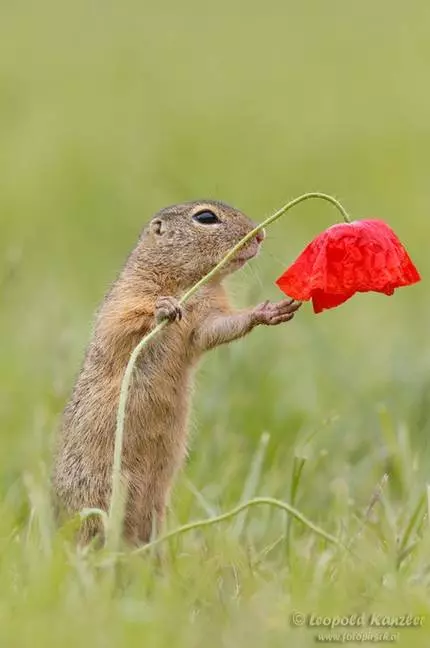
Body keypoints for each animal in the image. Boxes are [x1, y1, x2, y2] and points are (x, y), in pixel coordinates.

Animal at [53, 200, 298, 544]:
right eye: (206, 217)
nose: (260, 235)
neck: (187, 283)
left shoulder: (208, 315)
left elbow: (218, 329)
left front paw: (268, 311)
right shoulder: (126, 297)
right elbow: (125, 321)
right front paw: (164, 308)